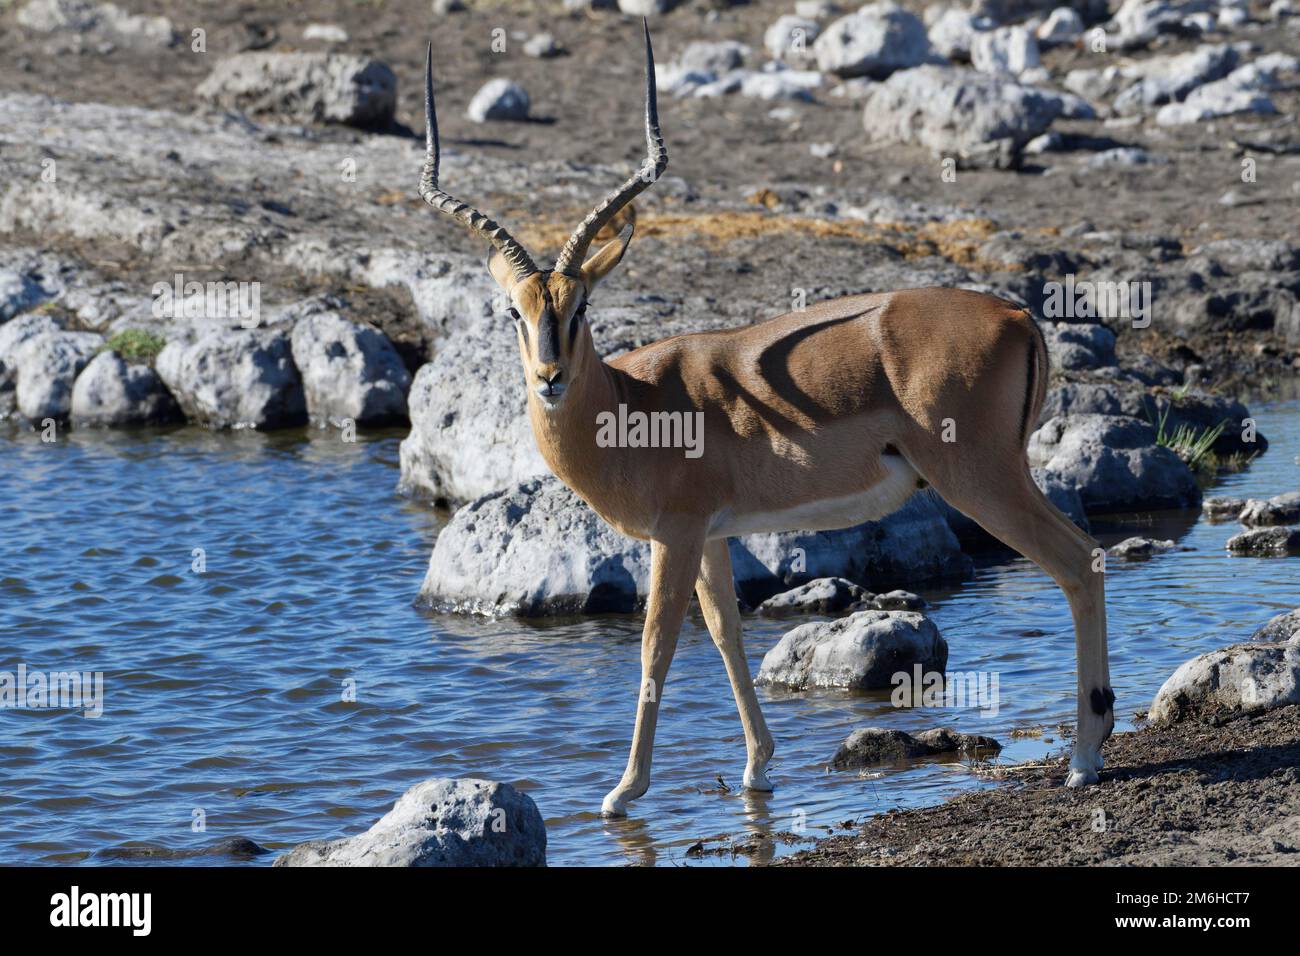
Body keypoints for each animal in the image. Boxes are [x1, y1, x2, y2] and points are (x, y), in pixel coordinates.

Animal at [417, 23, 1113, 817]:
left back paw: (1084, 760)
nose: (549, 379)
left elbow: (657, 644)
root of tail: (1018, 316)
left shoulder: (675, 534)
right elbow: (725, 631)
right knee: (1088, 558)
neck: (631, 405)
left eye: (581, 307)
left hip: (979, 480)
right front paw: (756, 768)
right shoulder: (714, 535)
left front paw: (623, 791)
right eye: (515, 310)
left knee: (1079, 562)